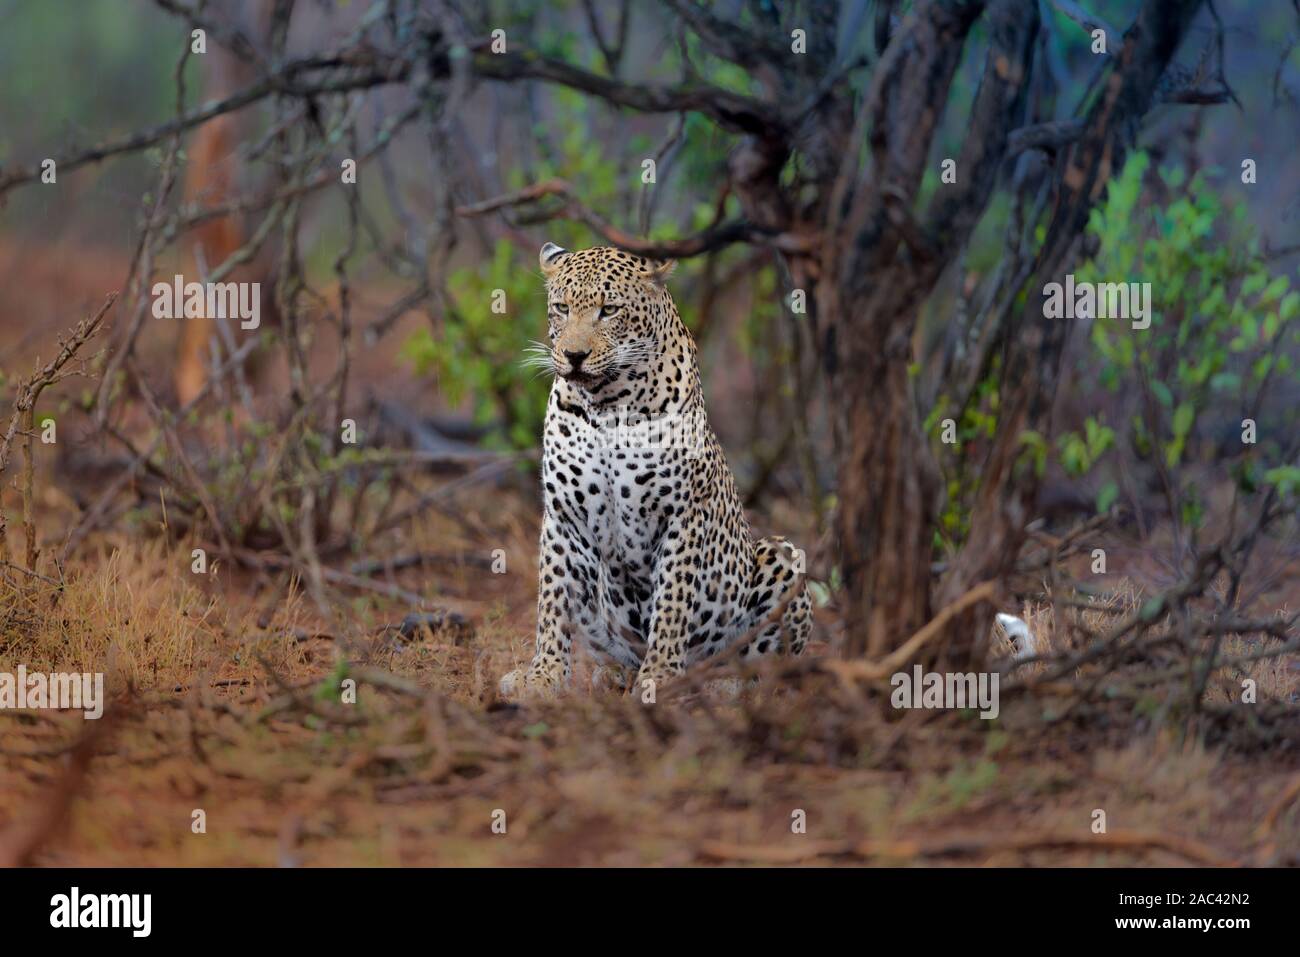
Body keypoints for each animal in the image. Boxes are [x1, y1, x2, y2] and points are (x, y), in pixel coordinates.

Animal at [498, 242, 812, 700]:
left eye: (609, 310)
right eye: (561, 308)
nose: (574, 356)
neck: (607, 406)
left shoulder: (682, 515)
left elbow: (673, 603)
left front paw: (660, 677)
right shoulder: (563, 517)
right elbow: (552, 600)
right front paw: (544, 676)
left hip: (781, 555)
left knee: (766, 663)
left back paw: (723, 682)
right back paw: (614, 674)